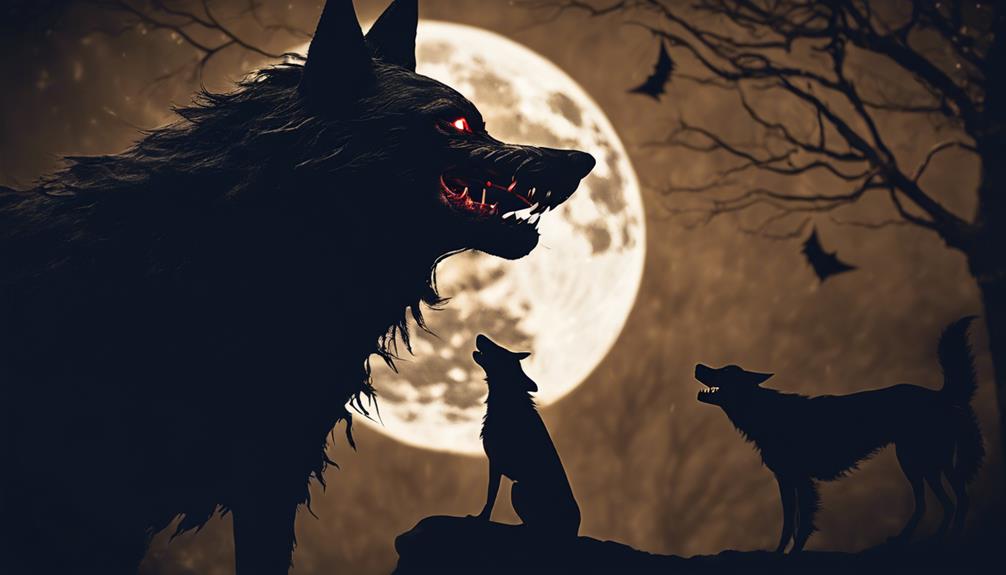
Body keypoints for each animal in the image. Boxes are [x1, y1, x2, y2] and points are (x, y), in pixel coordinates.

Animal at [471, 334, 581, 539]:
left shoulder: (495, 462)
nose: (480, 335)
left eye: (500, 350)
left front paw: (480, 519)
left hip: (517, 488)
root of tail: (574, 532)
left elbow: (490, 496)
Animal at [694, 317, 983, 554]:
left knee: (952, 501)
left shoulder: (798, 479)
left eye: (725, 371)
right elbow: (789, 524)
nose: (697, 365)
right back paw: (928, 540)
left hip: (919, 462)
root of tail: (937, 395)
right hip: (924, 464)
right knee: (944, 502)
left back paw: (944, 540)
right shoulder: (786, 479)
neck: (764, 413)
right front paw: (780, 553)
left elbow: (799, 525)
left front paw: (792, 552)